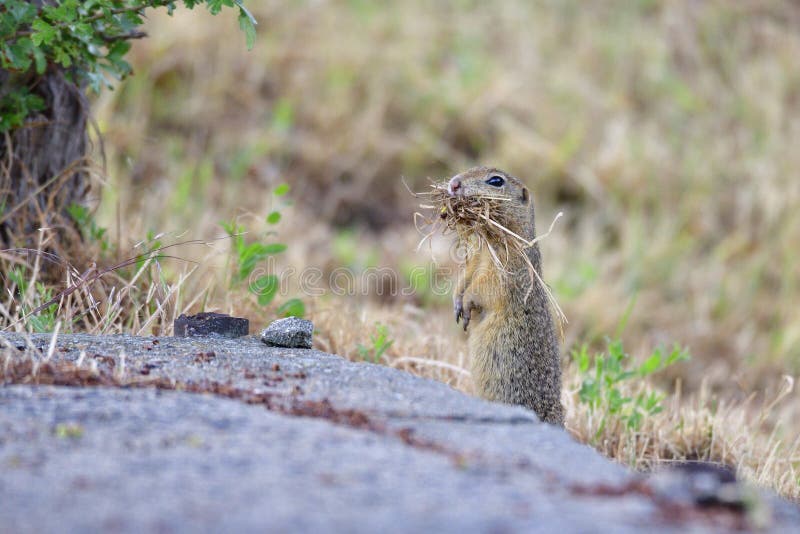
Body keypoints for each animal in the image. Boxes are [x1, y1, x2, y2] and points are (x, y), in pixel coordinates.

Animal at [447, 166, 564, 425]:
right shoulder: (476, 258)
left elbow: (484, 287)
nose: (453, 184)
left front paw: (466, 304)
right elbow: (465, 277)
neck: (489, 242)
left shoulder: (506, 269)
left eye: (495, 181)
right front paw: (457, 303)